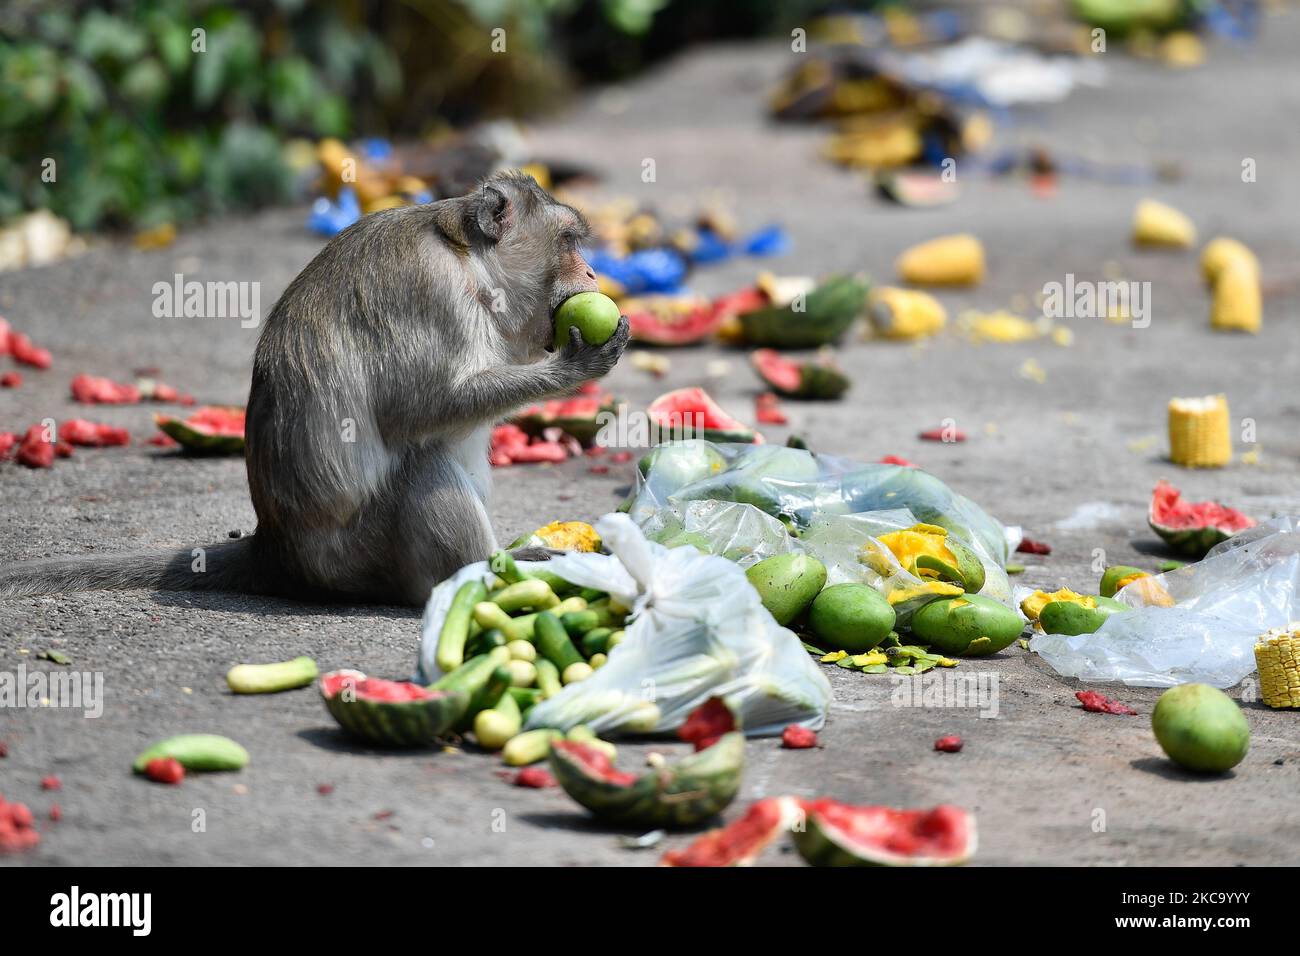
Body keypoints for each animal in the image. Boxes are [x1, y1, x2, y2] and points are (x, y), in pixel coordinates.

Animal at [0, 171, 628, 606]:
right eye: (569, 242)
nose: (594, 274)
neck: (470, 263)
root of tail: (276, 548)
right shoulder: (432, 291)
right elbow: (416, 412)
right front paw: (575, 367)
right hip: (360, 558)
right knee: (422, 466)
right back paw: (486, 574)